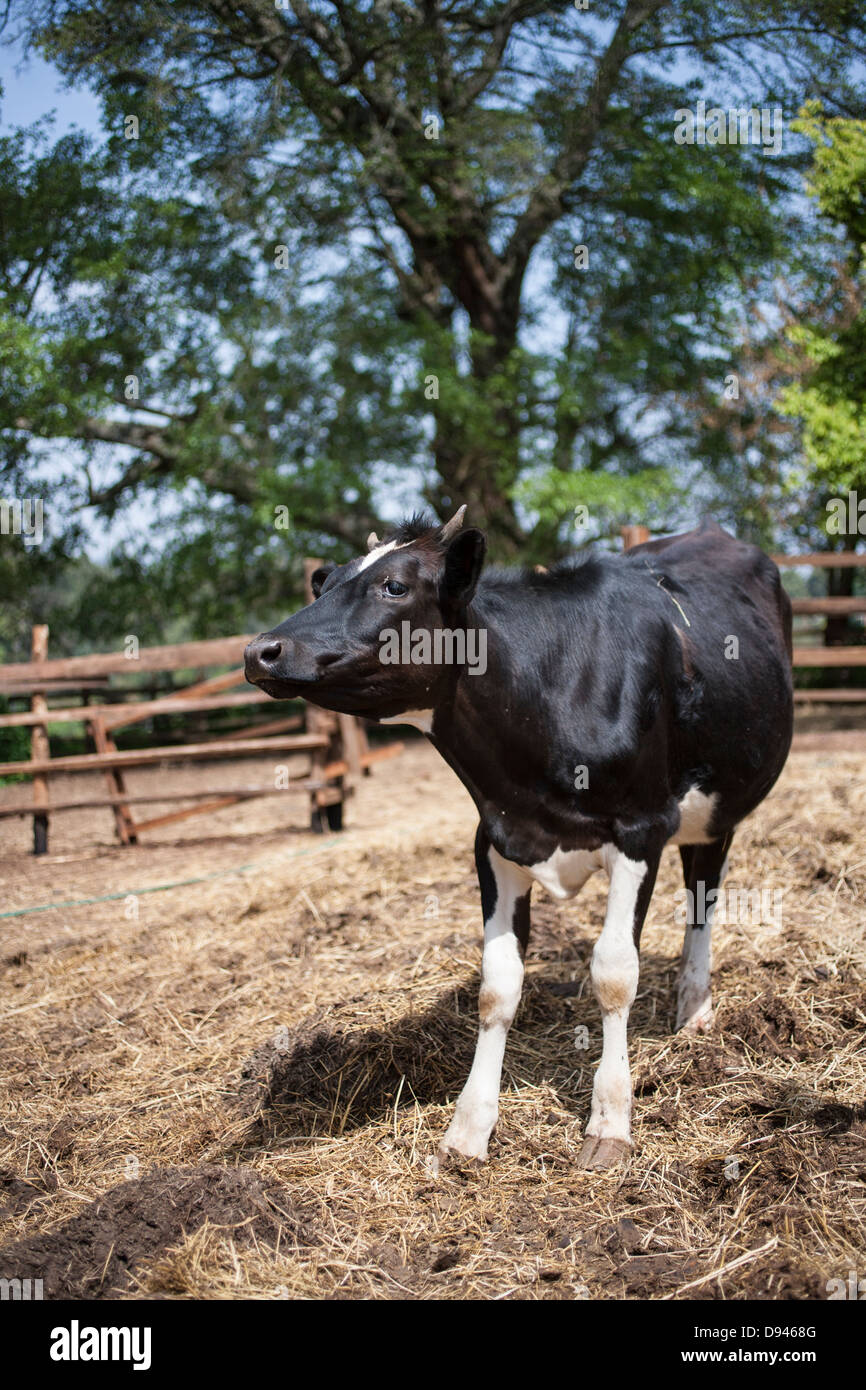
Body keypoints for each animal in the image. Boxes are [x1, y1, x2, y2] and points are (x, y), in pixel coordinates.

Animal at [245, 508, 793, 1170]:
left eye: (394, 587)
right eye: (323, 585)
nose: (260, 651)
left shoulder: (641, 829)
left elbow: (615, 971)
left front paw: (610, 1121)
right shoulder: (496, 838)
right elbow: (497, 987)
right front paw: (467, 1130)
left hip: (718, 806)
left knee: (703, 897)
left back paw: (695, 1007)